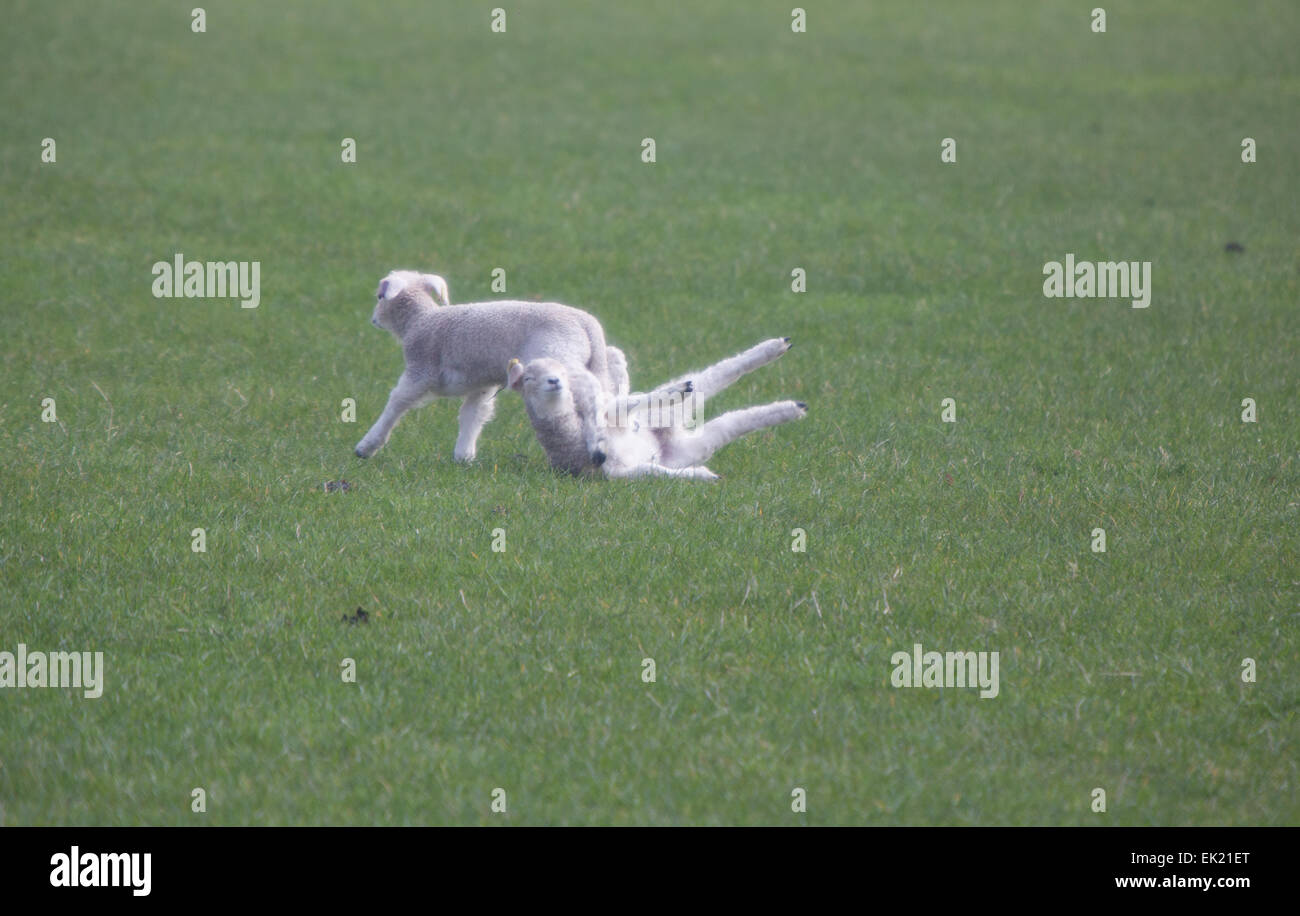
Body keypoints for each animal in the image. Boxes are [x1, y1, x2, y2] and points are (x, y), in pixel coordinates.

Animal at [354, 270, 616, 463]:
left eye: (379, 296)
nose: (373, 319)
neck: (419, 320)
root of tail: (587, 323)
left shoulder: (419, 371)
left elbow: (397, 402)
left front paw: (367, 446)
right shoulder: (481, 384)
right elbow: (473, 413)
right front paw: (463, 456)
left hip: (557, 352)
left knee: (588, 389)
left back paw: (597, 447)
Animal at [507, 336, 806, 480]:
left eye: (562, 372)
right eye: (529, 379)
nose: (554, 381)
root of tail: (666, 435)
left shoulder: (612, 416)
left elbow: (627, 403)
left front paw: (675, 391)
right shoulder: (615, 474)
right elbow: (652, 472)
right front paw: (704, 476)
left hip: (665, 413)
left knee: (715, 374)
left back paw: (776, 348)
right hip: (693, 447)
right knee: (731, 420)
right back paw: (795, 407)